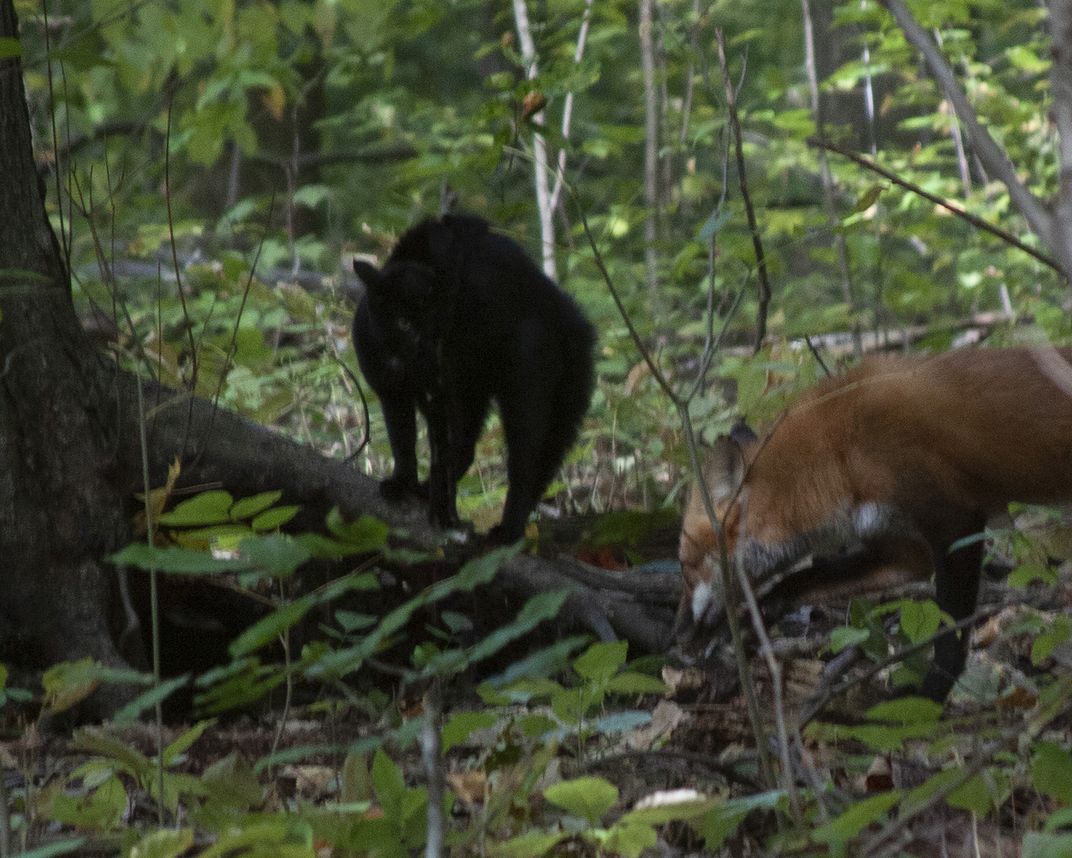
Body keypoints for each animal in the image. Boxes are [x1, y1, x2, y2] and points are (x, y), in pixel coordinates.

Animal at [677, 346, 1072, 701]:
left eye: (687, 565)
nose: (679, 635)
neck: (843, 449)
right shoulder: (902, 549)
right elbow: (803, 579)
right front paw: (755, 617)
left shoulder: (956, 523)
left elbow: (950, 637)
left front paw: (929, 698)